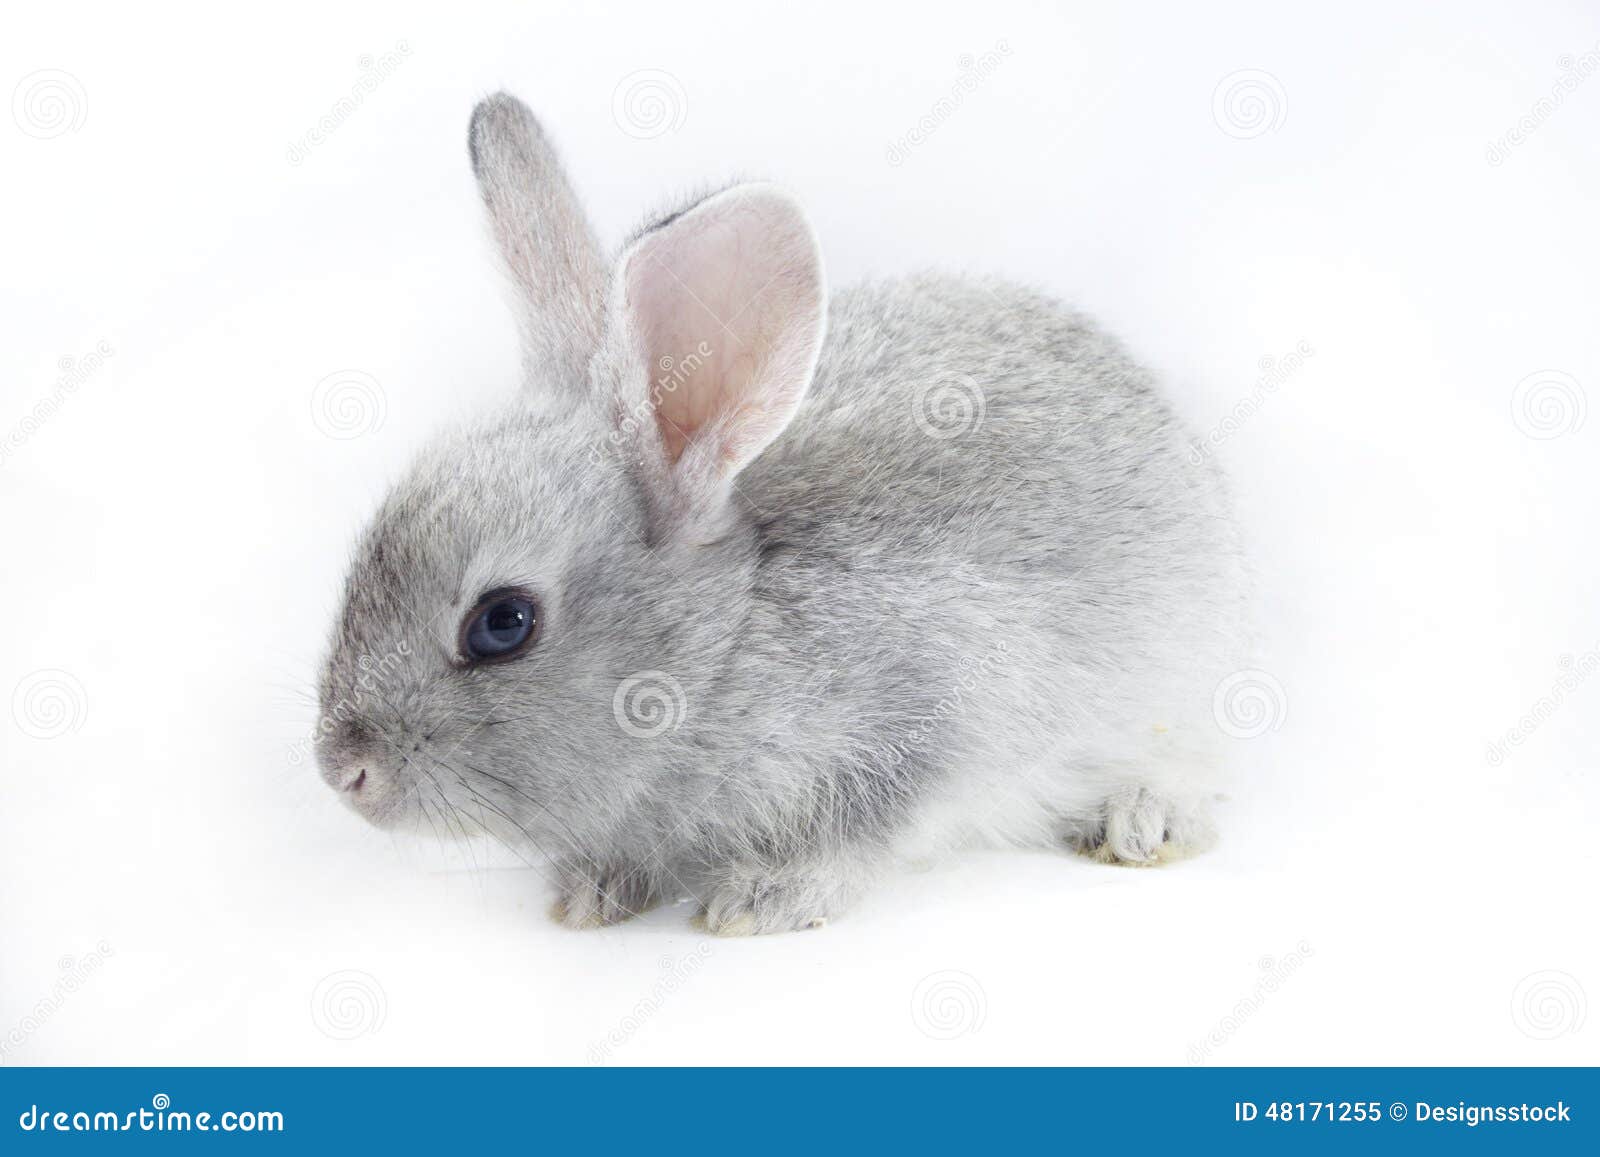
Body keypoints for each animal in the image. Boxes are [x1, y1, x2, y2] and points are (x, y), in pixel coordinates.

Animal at [313, 92, 1248, 936]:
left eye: (503, 623)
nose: (342, 772)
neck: (721, 651)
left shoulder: (926, 722)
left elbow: (857, 837)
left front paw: (763, 898)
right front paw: (594, 893)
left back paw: (1142, 822)